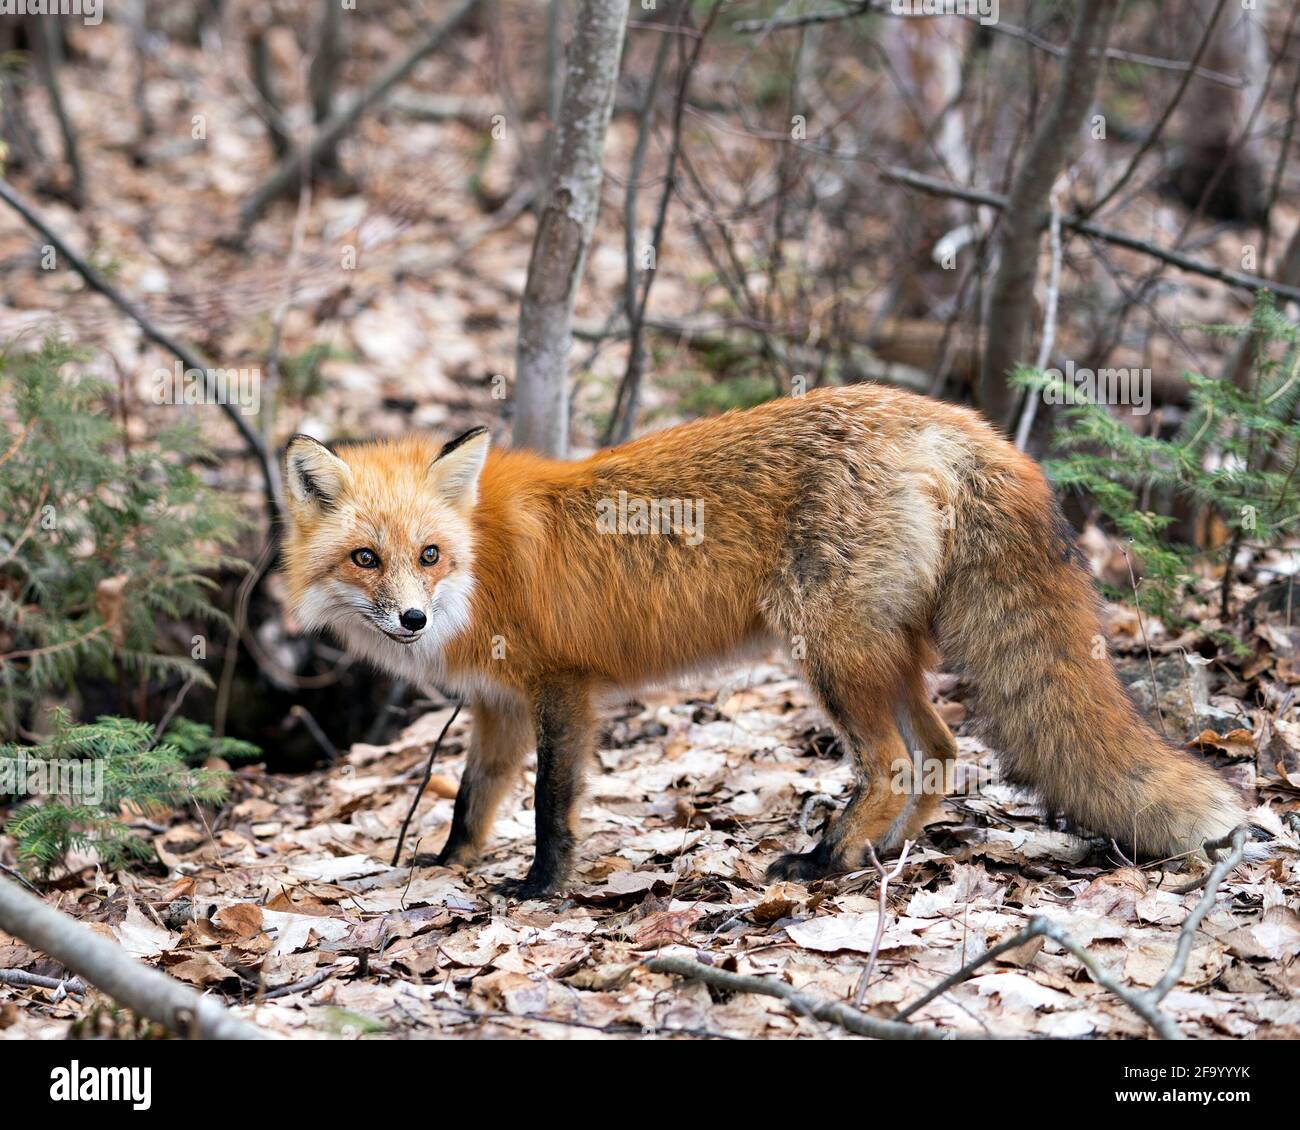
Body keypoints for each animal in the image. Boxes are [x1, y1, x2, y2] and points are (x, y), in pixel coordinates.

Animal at [280, 383, 1251, 898]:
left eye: (429, 556)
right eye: (367, 558)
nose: (410, 620)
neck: (483, 567)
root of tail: (946, 415)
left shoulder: (562, 690)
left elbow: (552, 808)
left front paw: (540, 888)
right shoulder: (497, 707)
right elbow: (471, 804)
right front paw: (447, 868)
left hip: (828, 651)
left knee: (893, 760)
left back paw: (824, 860)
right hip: (880, 652)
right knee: (940, 752)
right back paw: (880, 852)